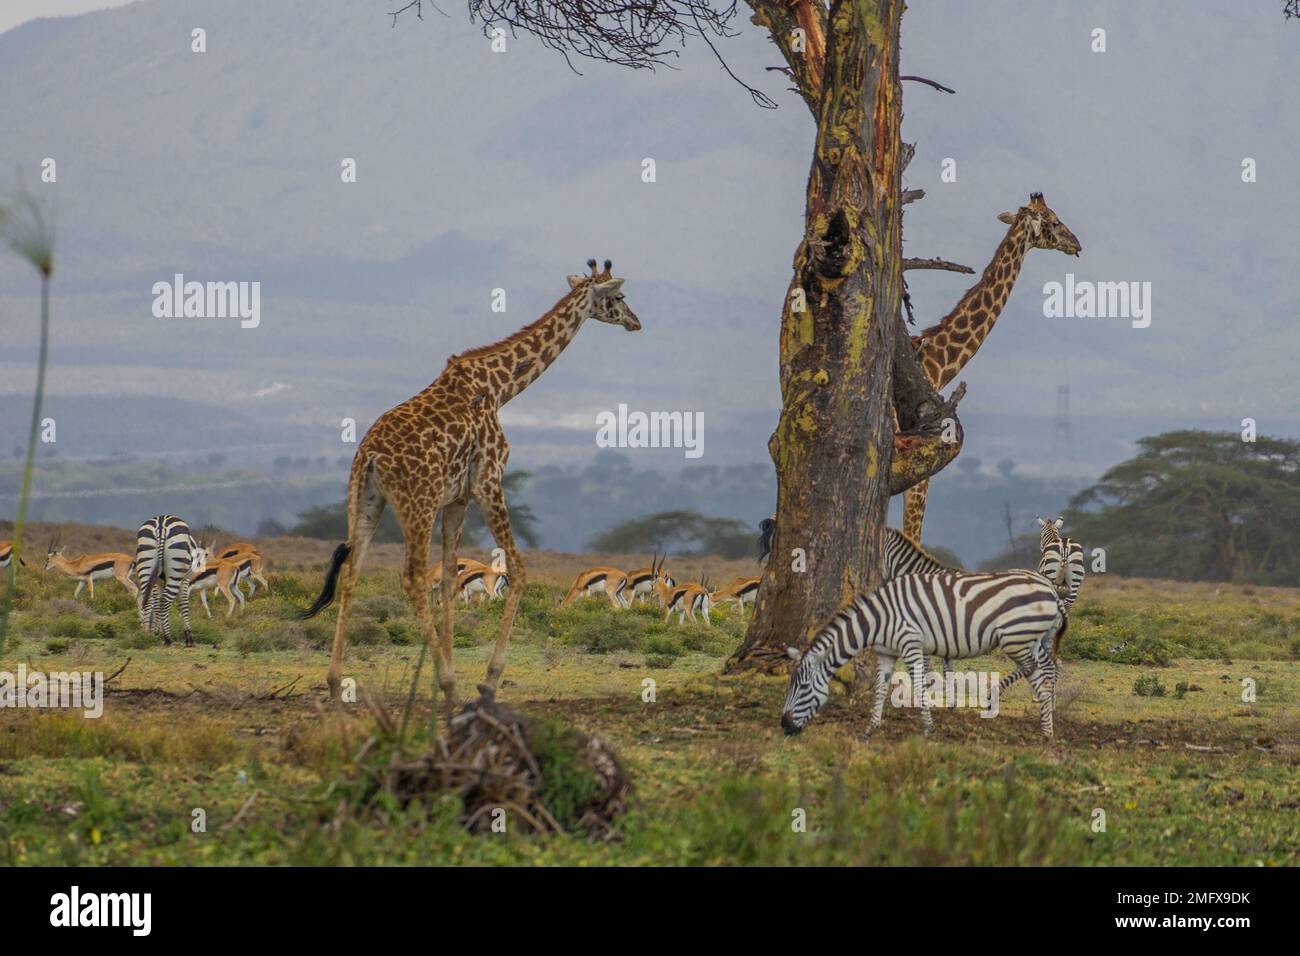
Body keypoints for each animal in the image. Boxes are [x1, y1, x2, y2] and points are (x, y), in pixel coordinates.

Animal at [301, 259, 641, 704]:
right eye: (618, 296)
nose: (636, 321)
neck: (500, 387)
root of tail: (369, 456)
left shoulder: (457, 499)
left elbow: (449, 578)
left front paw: (450, 677)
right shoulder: (488, 481)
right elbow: (518, 569)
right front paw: (482, 681)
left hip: (366, 500)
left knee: (352, 570)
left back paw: (334, 681)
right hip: (417, 503)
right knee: (410, 576)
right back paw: (444, 684)